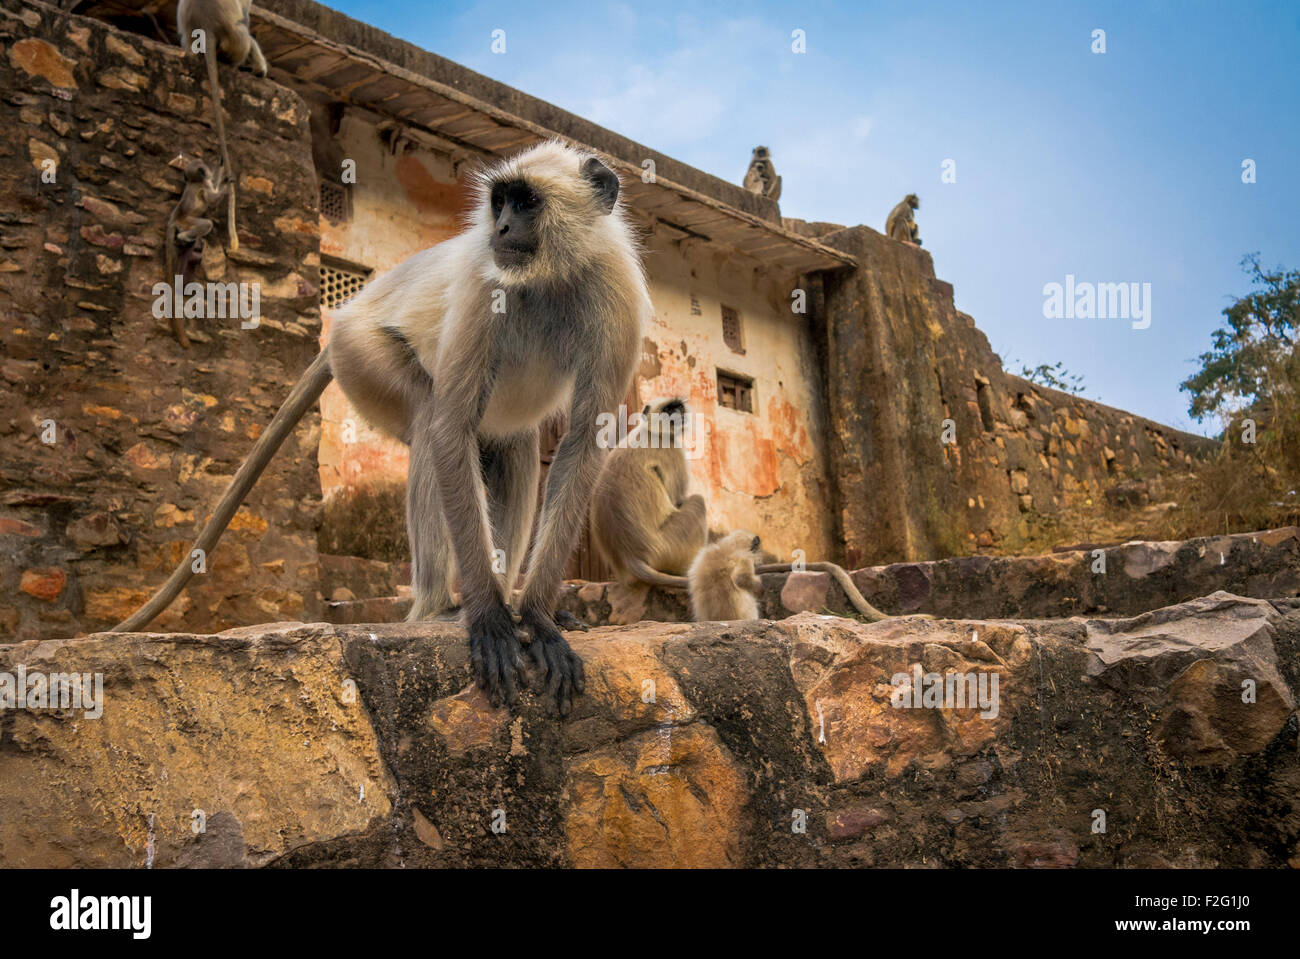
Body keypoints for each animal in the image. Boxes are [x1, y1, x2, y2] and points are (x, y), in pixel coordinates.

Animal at [164, 157, 229, 347]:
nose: (206, 168)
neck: (195, 181)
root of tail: (176, 216)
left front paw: (221, 166)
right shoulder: (204, 186)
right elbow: (213, 201)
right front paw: (226, 183)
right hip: (189, 222)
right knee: (206, 223)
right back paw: (183, 237)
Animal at [589, 397, 708, 587]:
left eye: (678, 408)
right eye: (668, 410)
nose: (678, 414)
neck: (651, 432)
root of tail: (630, 556)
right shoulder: (671, 450)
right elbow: (678, 500)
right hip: (667, 548)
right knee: (698, 502)